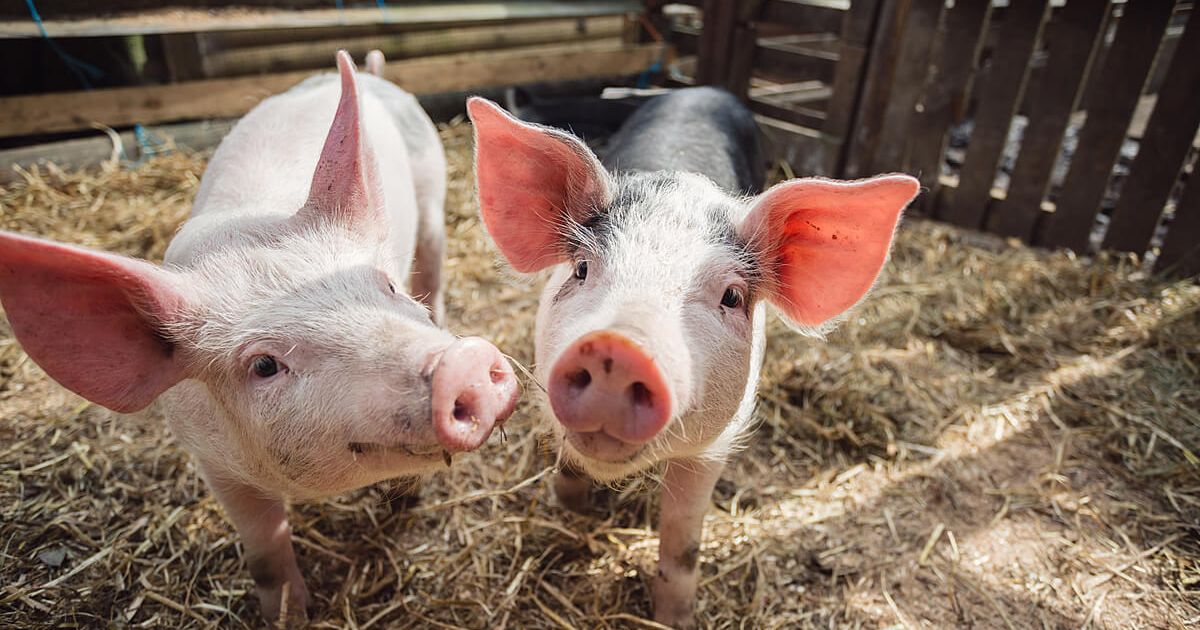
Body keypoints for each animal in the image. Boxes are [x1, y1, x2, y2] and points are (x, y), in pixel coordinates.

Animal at [0, 51, 520, 623]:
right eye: (265, 365)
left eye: (385, 285)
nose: (463, 362)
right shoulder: (212, 461)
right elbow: (265, 546)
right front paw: (291, 616)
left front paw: (408, 504)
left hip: (433, 196)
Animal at [467, 86, 918, 627]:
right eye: (581, 268)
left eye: (731, 296)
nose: (619, 347)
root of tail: (703, 90)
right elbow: (569, 469)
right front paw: (570, 515)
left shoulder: (712, 446)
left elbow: (683, 540)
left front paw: (675, 618)